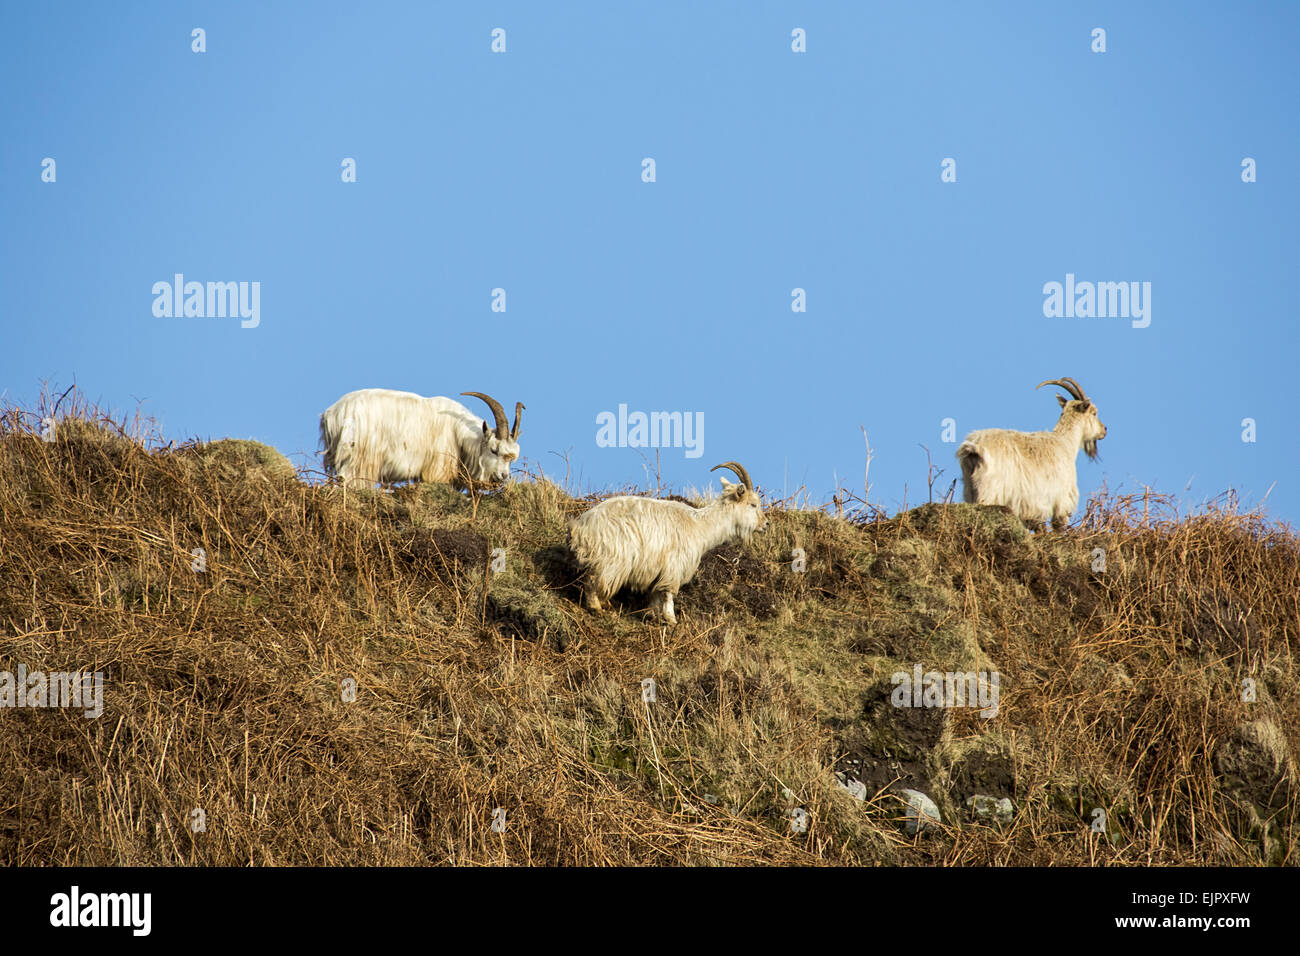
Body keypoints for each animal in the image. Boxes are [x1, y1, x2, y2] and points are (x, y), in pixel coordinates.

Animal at [319, 388, 523, 490]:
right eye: (494, 450)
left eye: (511, 458)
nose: (503, 476)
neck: (457, 430)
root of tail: (334, 414)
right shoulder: (437, 469)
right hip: (358, 459)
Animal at [568, 462, 767, 625]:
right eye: (753, 505)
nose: (765, 524)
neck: (699, 525)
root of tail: (579, 528)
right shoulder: (674, 565)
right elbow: (669, 593)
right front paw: (671, 620)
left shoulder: (659, 569)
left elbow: (656, 594)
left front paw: (650, 615)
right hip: (611, 558)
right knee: (592, 580)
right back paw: (596, 607)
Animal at [956, 377, 1106, 531]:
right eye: (1094, 412)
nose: (1104, 430)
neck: (1066, 442)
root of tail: (975, 447)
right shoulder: (1062, 500)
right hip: (990, 490)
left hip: (970, 489)